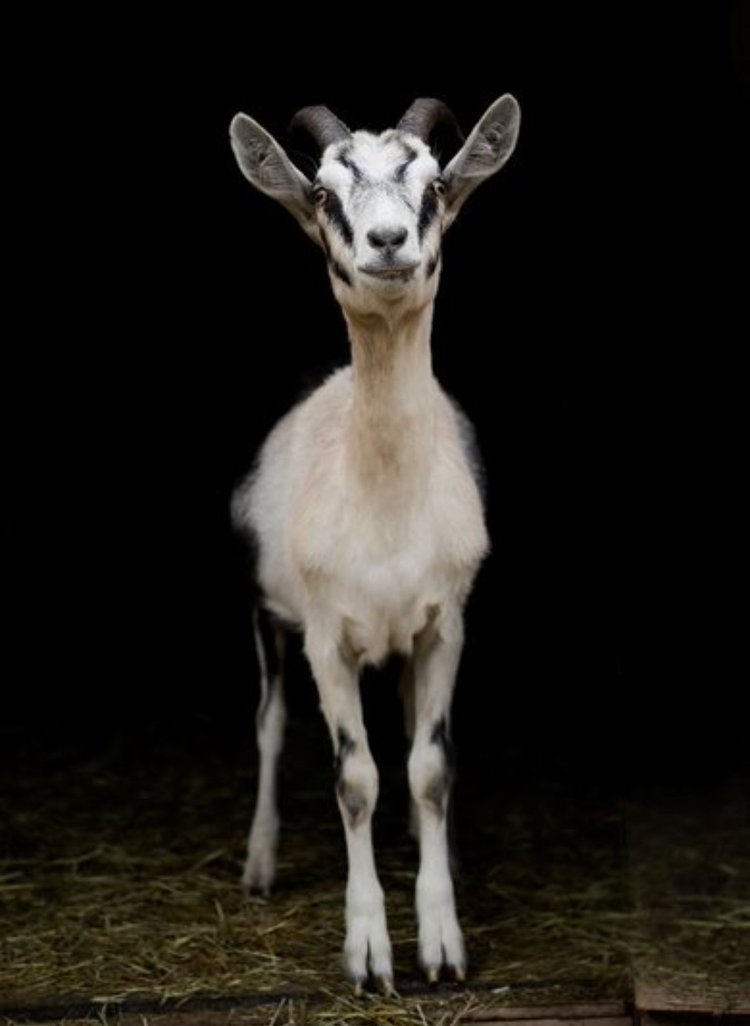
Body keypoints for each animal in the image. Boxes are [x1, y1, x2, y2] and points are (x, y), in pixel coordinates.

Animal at [229, 95, 520, 992]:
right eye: (325, 192)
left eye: (432, 183)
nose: (388, 241)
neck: (385, 504)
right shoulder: (327, 636)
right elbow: (354, 778)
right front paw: (367, 954)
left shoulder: (444, 625)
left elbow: (430, 767)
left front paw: (443, 942)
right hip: (266, 618)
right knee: (269, 725)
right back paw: (259, 866)